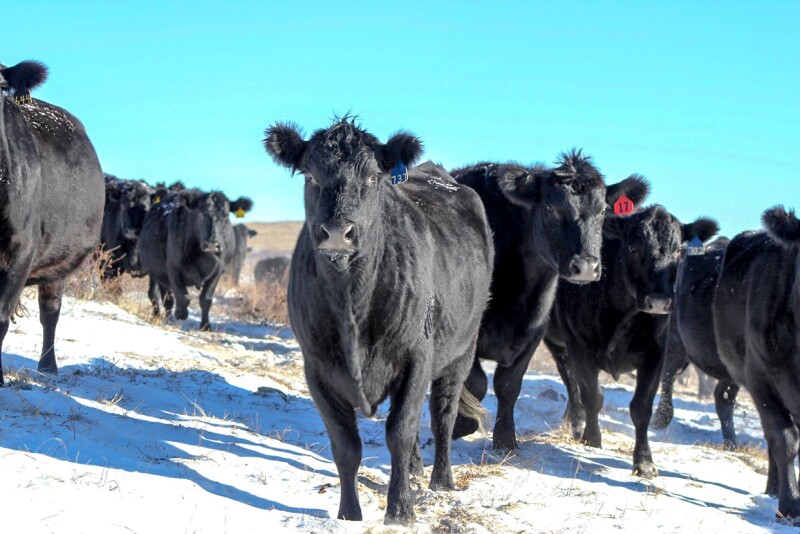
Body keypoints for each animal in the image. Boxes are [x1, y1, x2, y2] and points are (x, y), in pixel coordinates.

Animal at [0, 60, 105, 385]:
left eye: (0, 87)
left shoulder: (22, 248)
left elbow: (1, 315)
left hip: (59, 264)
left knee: (50, 312)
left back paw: (48, 367)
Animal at [138, 187, 252, 330]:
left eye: (226, 216)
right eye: (201, 214)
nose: (212, 244)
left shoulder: (217, 271)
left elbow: (206, 299)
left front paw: (206, 326)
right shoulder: (173, 267)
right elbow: (182, 297)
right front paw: (180, 313)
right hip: (155, 271)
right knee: (160, 296)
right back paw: (163, 318)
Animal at [264, 118, 494, 525]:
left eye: (373, 177)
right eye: (310, 175)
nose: (337, 233)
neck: (352, 303)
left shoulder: (417, 356)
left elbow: (399, 432)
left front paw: (400, 511)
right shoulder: (316, 368)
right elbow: (345, 445)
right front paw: (348, 514)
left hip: (461, 351)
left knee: (442, 415)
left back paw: (441, 481)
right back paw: (417, 471)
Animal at [450, 154, 650, 450]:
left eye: (603, 211)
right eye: (550, 208)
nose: (586, 266)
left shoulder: (534, 329)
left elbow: (508, 385)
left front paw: (505, 440)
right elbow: (475, 381)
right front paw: (462, 425)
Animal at [544, 205, 718, 477]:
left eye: (677, 251)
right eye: (634, 248)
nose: (658, 301)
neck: (624, 314)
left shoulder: (655, 354)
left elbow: (641, 407)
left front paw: (644, 461)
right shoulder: (579, 347)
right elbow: (592, 396)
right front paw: (592, 438)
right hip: (556, 342)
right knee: (571, 384)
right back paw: (576, 422)